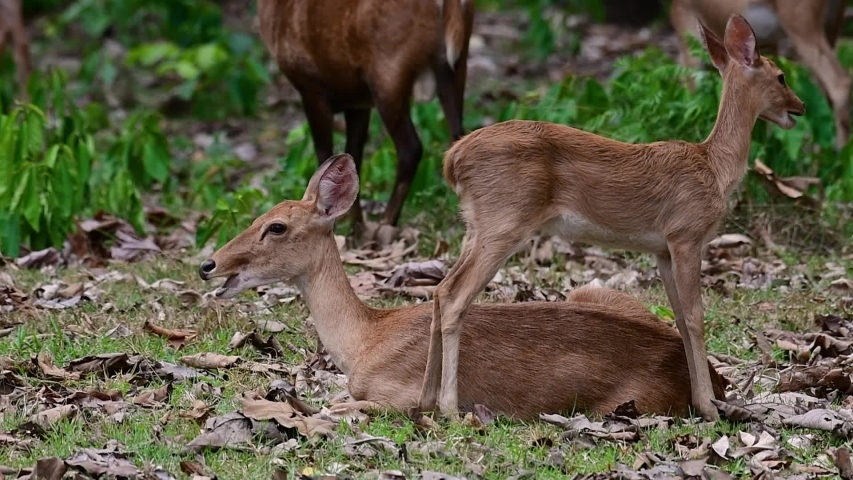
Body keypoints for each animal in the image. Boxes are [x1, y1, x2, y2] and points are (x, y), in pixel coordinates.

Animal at [198, 153, 727, 420]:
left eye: (277, 227)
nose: (208, 264)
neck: (366, 340)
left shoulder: (397, 394)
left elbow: (337, 404)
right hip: (592, 290)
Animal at [256, 0, 475, 242]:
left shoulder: (311, 86)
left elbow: (325, 155)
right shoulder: (358, 102)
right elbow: (353, 158)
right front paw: (355, 227)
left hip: (387, 74)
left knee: (411, 148)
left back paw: (385, 223)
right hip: (455, 65)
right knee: (458, 136)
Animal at [417, 14, 805, 422]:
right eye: (781, 76)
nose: (800, 107)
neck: (714, 169)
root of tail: (452, 159)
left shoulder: (662, 249)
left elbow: (680, 318)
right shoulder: (686, 233)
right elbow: (696, 317)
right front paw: (709, 409)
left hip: (476, 224)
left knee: (441, 289)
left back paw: (425, 401)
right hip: (504, 221)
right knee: (456, 296)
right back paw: (449, 408)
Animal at [670, 0, 849, 150]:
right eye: (781, 78)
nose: (801, 106)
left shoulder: (683, 21)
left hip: (800, 21)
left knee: (840, 85)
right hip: (830, 23)